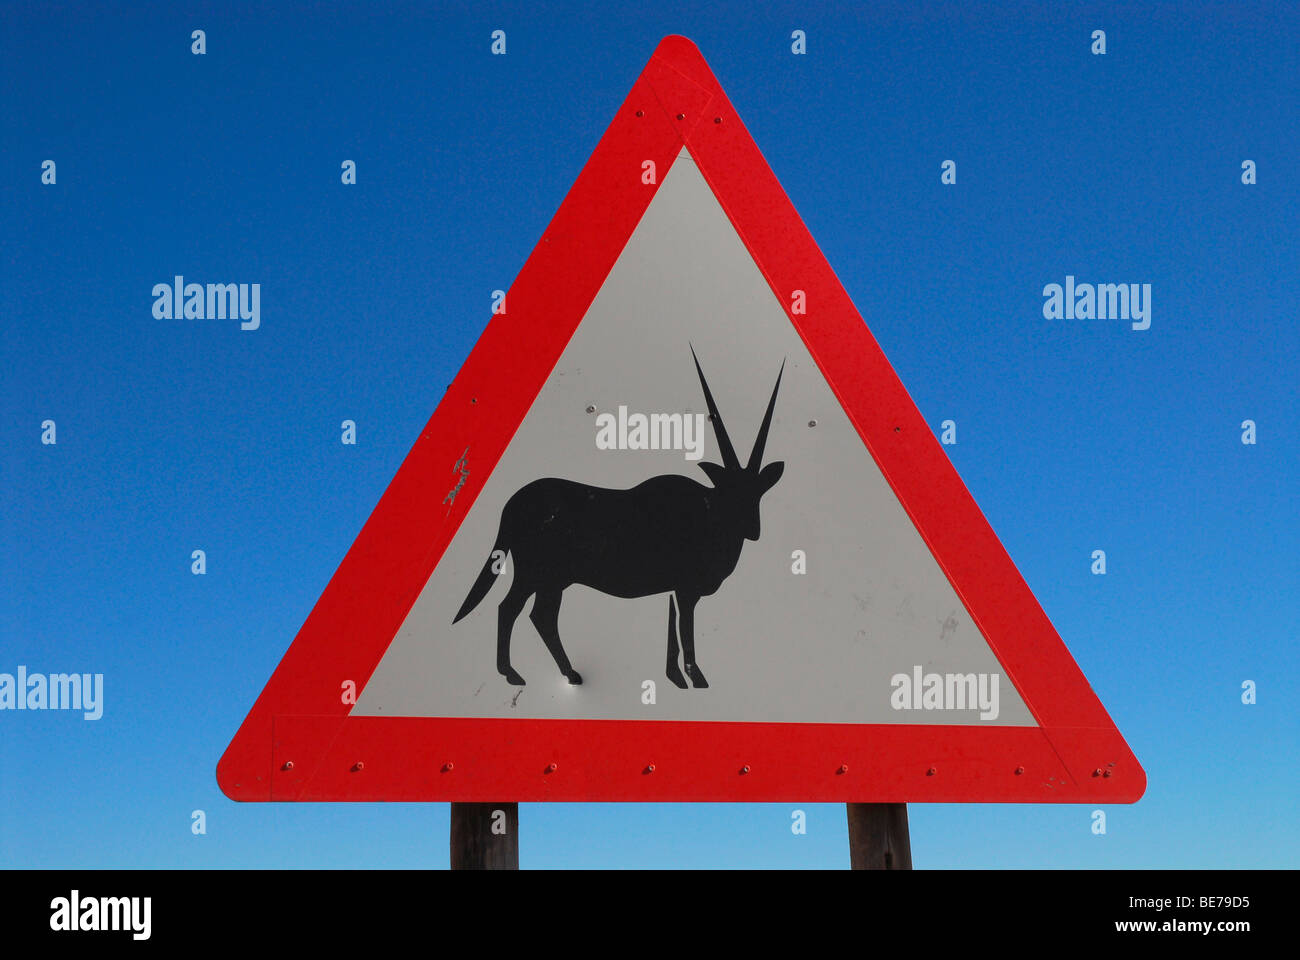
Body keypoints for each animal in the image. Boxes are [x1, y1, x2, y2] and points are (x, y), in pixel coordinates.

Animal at [453, 347, 785, 689]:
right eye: (728, 490)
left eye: (758, 491)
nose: (753, 530)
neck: (710, 512)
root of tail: (512, 505)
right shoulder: (686, 590)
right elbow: (686, 633)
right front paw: (697, 679)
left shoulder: (673, 591)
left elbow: (673, 631)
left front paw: (677, 679)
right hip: (535, 573)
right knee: (511, 609)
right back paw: (514, 673)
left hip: (553, 580)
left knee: (540, 616)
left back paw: (567, 673)